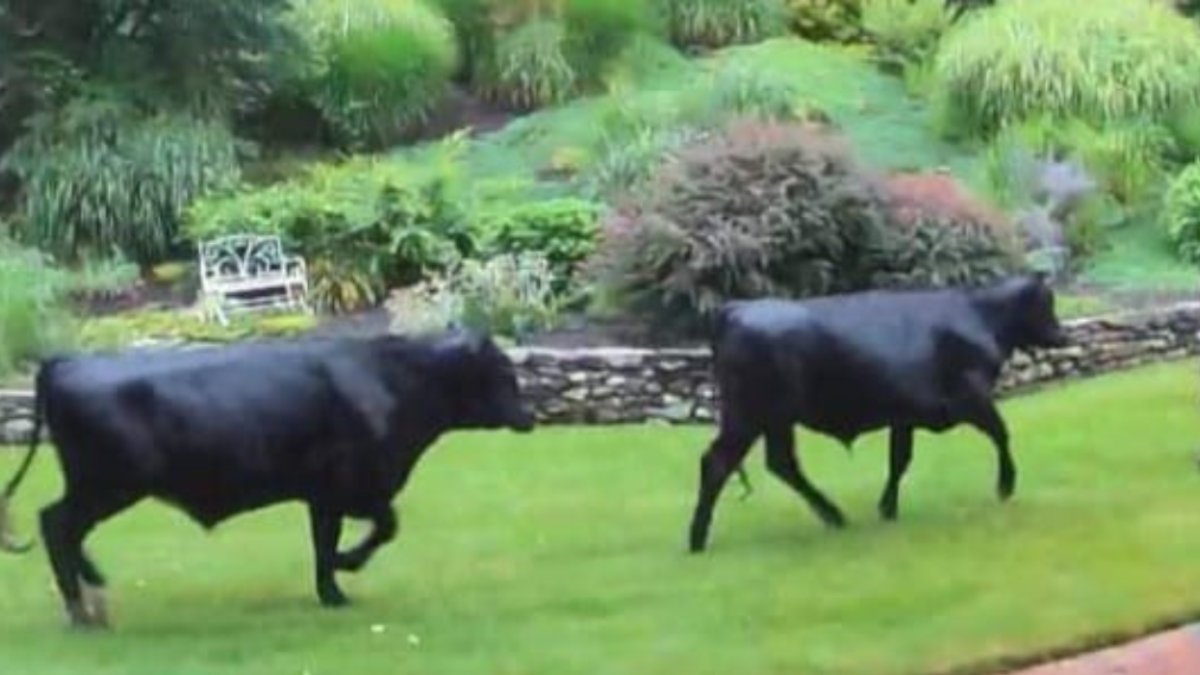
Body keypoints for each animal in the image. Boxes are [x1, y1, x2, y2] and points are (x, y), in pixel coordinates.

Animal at [0, 330, 535, 629]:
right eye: (501, 371)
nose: (530, 416)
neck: (389, 380)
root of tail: (66, 359)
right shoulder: (354, 486)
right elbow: (386, 525)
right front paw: (348, 566)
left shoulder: (323, 496)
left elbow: (324, 545)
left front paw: (332, 592)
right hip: (106, 484)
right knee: (57, 525)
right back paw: (83, 607)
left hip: (98, 486)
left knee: (63, 529)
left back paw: (90, 595)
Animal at [687, 273, 1069, 553]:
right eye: (1046, 302)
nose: (1064, 336)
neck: (978, 315)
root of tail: (736, 309)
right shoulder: (970, 397)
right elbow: (1001, 433)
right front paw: (1006, 485)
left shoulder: (905, 416)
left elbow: (900, 459)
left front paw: (887, 508)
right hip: (750, 416)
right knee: (718, 463)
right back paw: (697, 539)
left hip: (774, 420)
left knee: (782, 464)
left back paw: (833, 516)